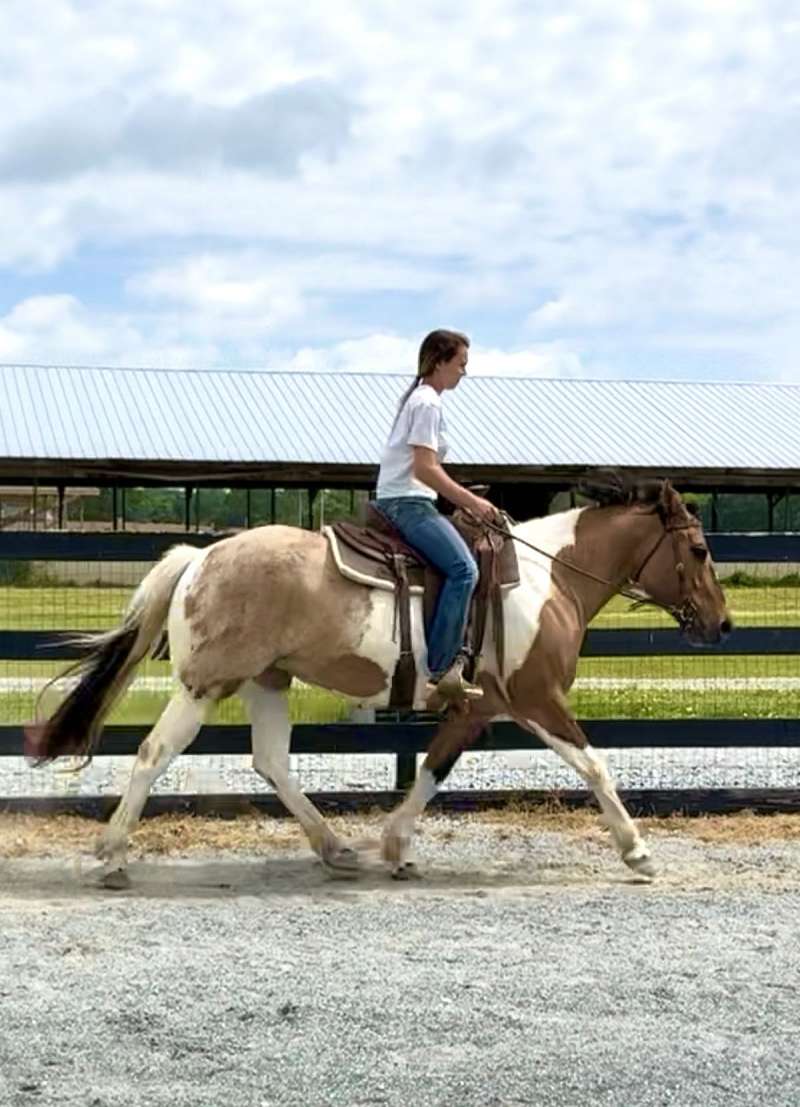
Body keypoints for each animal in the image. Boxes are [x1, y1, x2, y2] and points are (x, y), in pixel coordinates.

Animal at [26, 473, 731, 887]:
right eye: (698, 550)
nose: (721, 624)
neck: (547, 576)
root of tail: (201, 556)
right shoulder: (537, 698)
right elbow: (595, 767)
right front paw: (637, 852)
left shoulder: (475, 708)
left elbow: (432, 769)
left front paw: (396, 846)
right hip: (205, 686)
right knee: (153, 754)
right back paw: (112, 856)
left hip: (267, 681)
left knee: (271, 762)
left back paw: (336, 849)